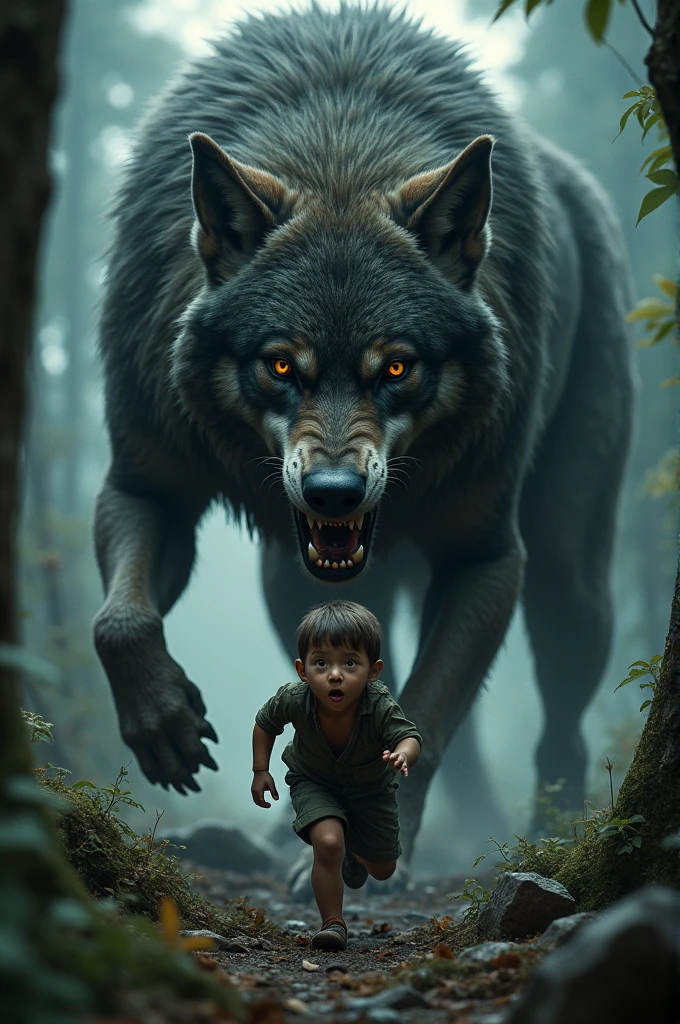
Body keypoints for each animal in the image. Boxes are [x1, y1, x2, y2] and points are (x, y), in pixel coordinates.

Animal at [94, 3, 634, 859]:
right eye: (281, 365)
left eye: (397, 367)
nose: (334, 493)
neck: (338, 153)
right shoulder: (147, 486)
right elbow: (118, 619)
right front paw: (163, 724)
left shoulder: (486, 555)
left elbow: (428, 720)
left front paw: (389, 841)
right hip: (292, 585)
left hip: (567, 582)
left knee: (562, 726)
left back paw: (552, 835)